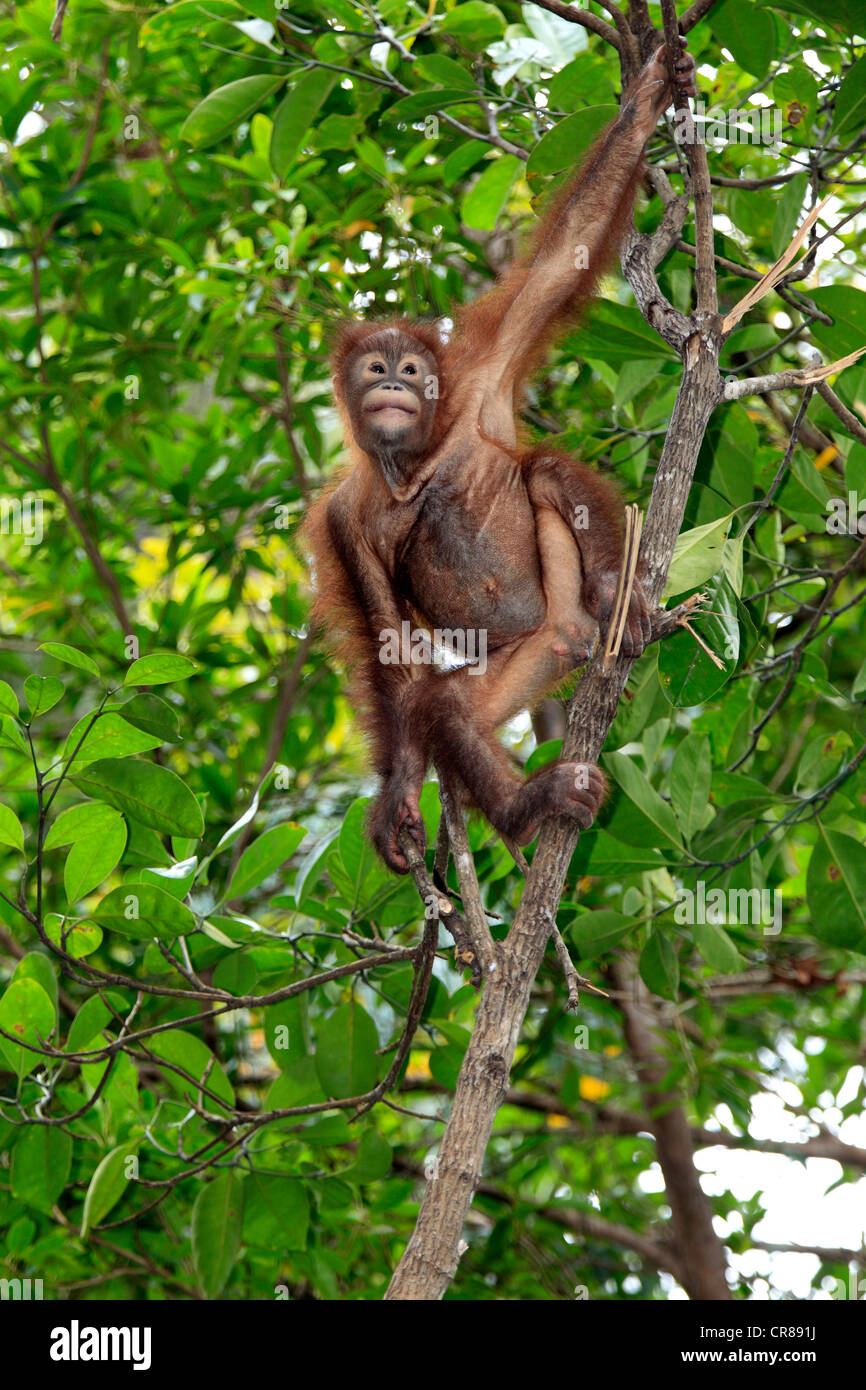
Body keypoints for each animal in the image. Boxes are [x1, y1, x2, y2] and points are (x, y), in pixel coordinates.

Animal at [303, 41, 697, 873]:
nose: (394, 382)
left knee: (544, 469)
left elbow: (559, 260)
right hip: (531, 653)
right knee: (446, 705)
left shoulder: (480, 372)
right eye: (375, 368)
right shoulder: (343, 521)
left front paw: (649, 92)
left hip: (560, 608)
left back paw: (615, 591)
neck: (411, 465)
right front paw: (397, 801)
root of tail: (572, 640)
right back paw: (534, 804)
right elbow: (390, 649)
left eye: (412, 368)